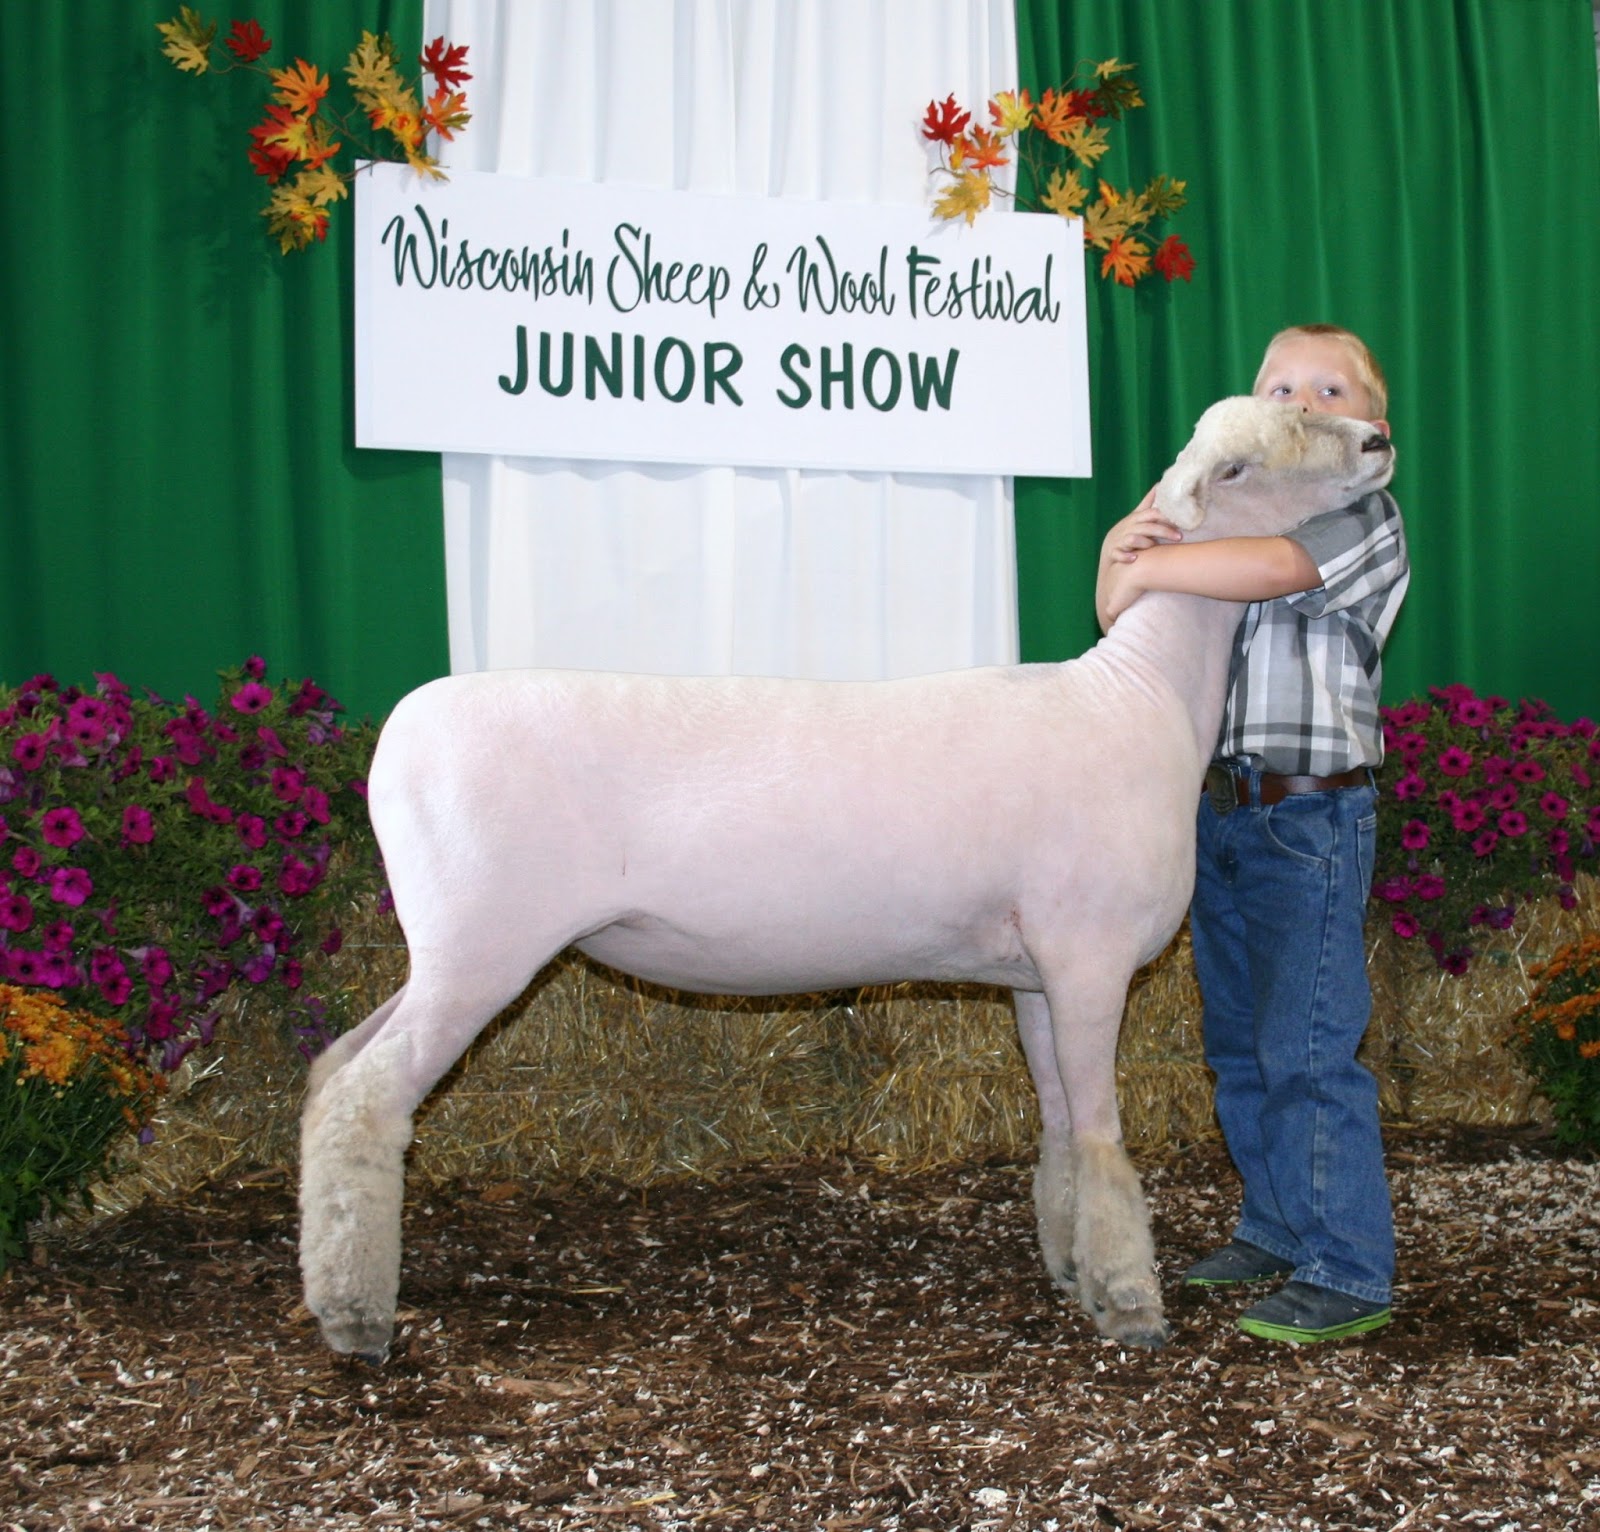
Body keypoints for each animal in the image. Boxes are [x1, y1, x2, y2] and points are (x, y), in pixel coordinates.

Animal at [298, 397, 1396, 1362]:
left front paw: (1070, 1269)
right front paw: (1129, 1305)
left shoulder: (1038, 972)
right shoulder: (1088, 955)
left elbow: (1054, 1129)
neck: (1140, 695)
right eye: (1267, 443)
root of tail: (400, 736)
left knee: (330, 1070)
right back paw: (357, 1321)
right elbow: (1098, 1137)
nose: (1380, 438)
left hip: (443, 946)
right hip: (484, 941)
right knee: (363, 1095)